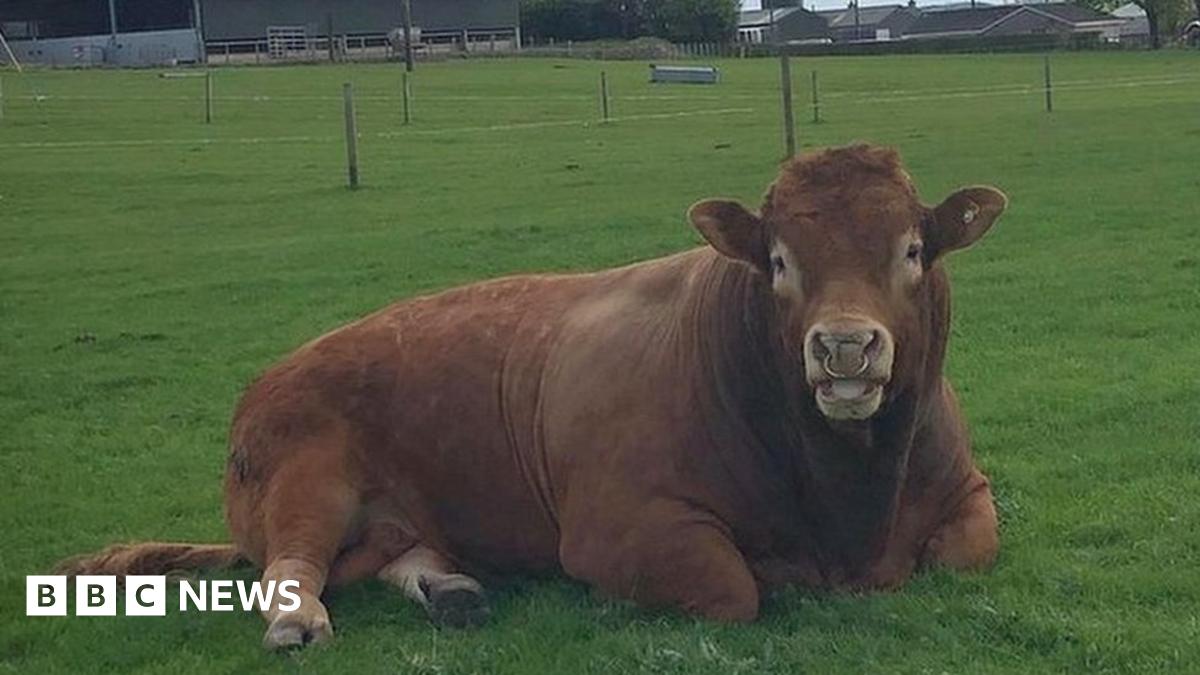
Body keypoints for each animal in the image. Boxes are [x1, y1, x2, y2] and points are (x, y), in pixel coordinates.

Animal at [60, 144, 1007, 650]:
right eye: (778, 261)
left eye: (912, 249)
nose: (845, 346)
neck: (846, 498)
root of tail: (268, 379)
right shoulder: (624, 528)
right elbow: (733, 587)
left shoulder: (968, 490)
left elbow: (969, 548)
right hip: (305, 477)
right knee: (292, 564)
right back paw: (299, 622)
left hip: (393, 514)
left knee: (391, 552)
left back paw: (453, 589)